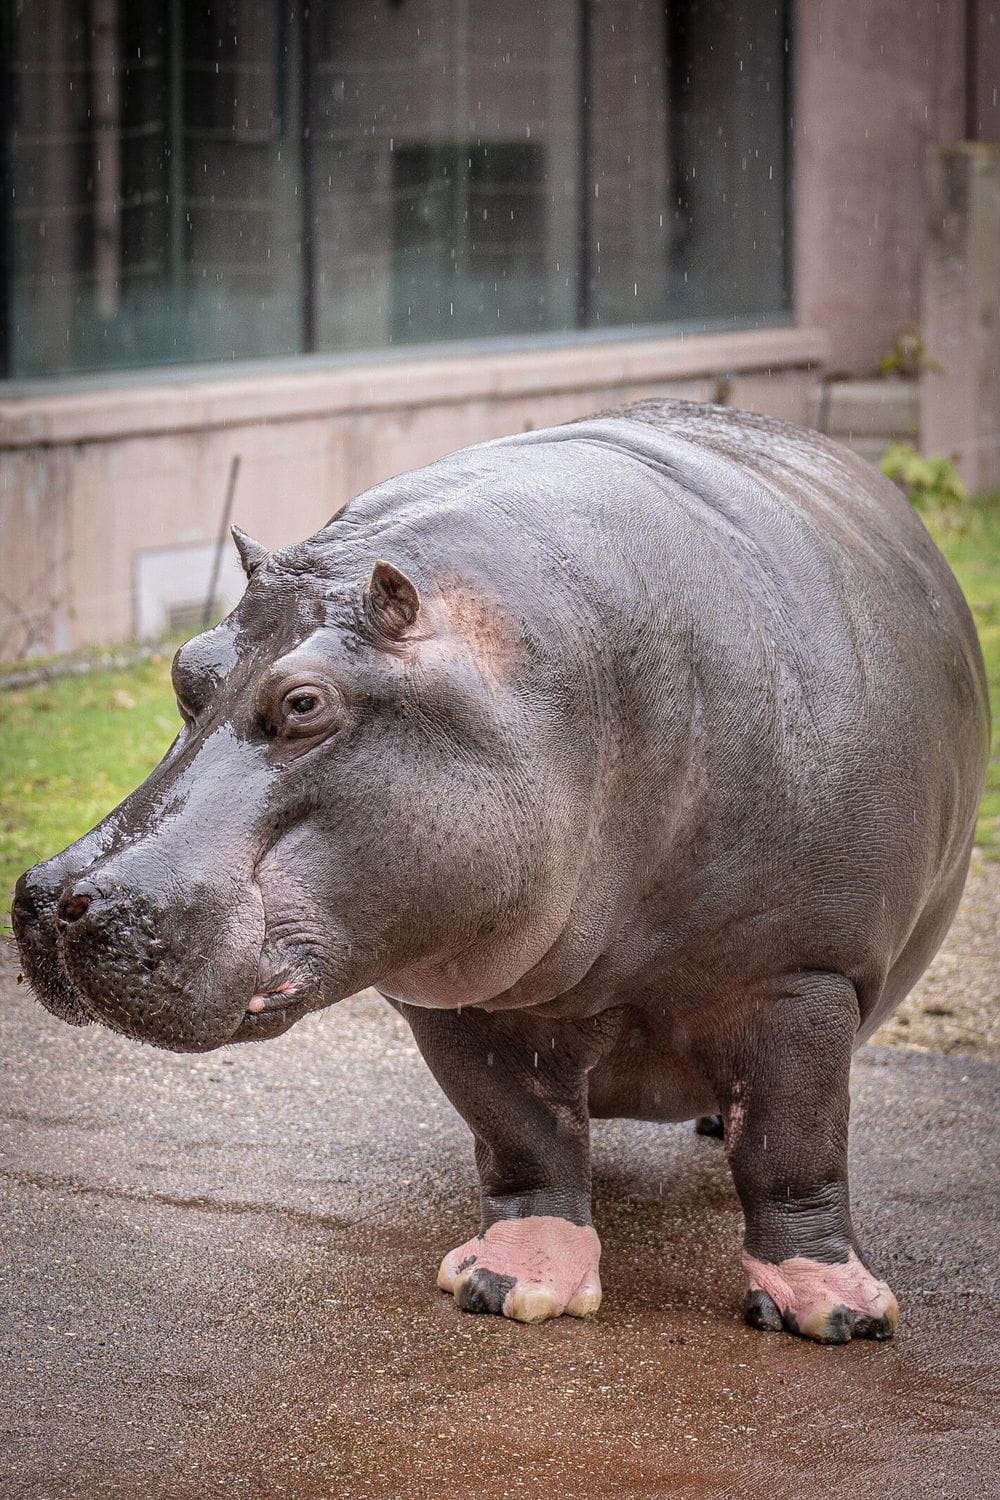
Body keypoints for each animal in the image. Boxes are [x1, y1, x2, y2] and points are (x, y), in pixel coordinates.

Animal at [13, 399, 989, 1344]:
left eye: (303, 702)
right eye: (187, 670)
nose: (53, 895)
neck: (558, 687)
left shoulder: (801, 973)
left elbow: (793, 1147)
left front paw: (837, 1313)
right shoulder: (460, 987)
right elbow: (520, 1131)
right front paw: (505, 1287)